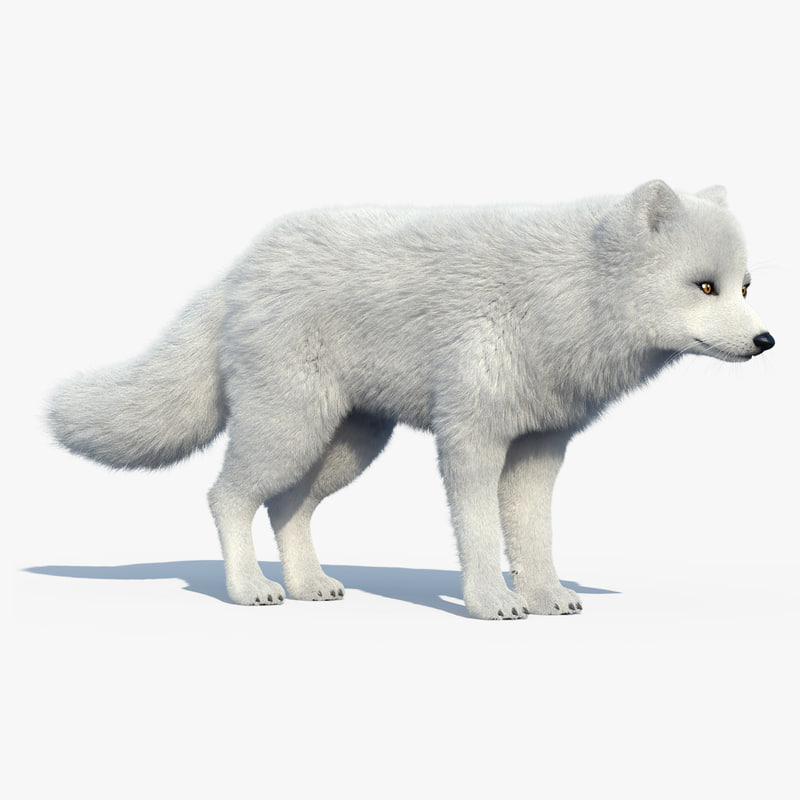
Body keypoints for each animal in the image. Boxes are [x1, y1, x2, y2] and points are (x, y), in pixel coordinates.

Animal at [48, 180, 775, 620]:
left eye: (743, 286)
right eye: (703, 286)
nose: (766, 340)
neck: (565, 292)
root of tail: (242, 268)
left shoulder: (538, 448)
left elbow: (533, 535)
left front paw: (547, 596)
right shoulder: (470, 438)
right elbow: (479, 532)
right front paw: (491, 603)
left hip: (347, 446)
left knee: (286, 508)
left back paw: (309, 585)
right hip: (289, 429)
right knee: (226, 496)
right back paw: (251, 588)